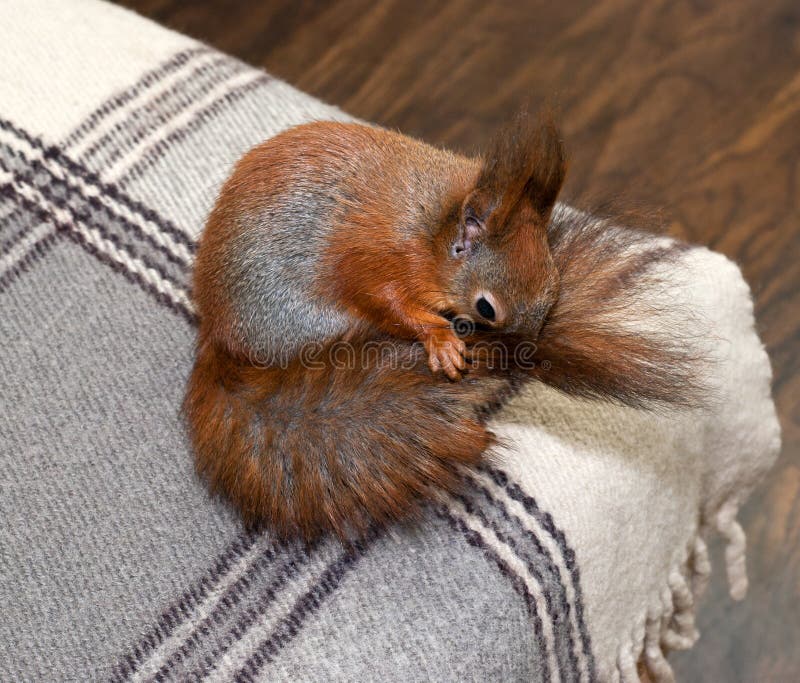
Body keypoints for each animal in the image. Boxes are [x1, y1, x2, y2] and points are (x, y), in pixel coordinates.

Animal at [184, 114, 699, 541]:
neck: (434, 227)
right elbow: (389, 303)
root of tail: (219, 337)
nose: (519, 352)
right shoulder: (371, 263)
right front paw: (439, 338)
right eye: (487, 308)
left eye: (552, 291)